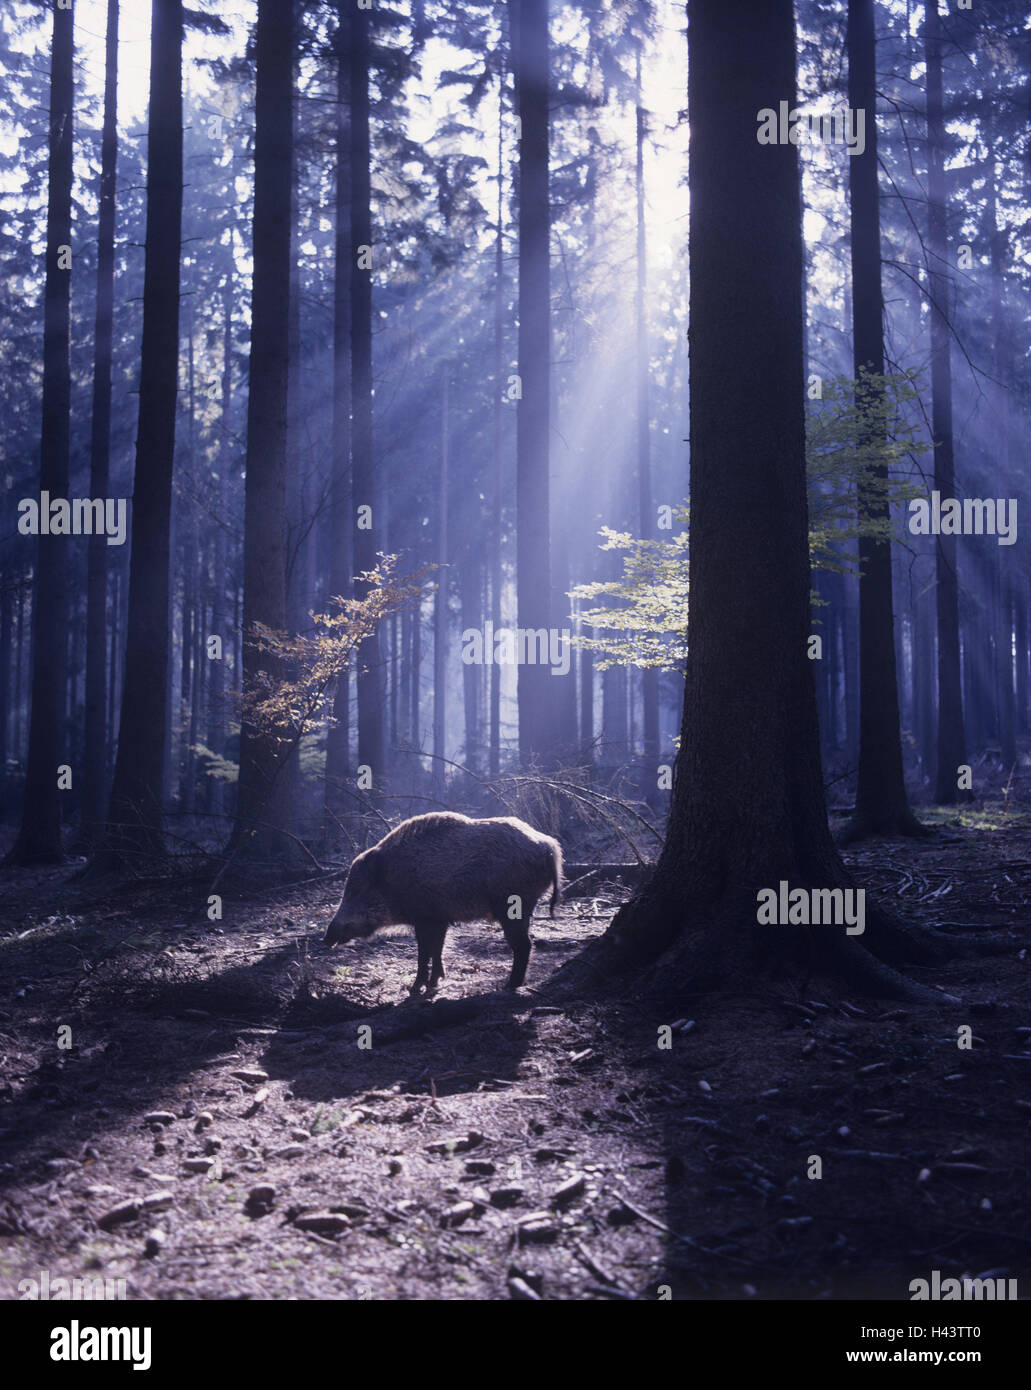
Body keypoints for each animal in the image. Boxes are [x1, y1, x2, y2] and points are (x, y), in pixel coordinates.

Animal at [324, 811, 563, 997]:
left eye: (356, 890)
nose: (326, 938)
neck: (391, 881)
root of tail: (550, 847)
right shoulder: (439, 919)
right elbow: (436, 949)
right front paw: (434, 983)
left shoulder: (424, 918)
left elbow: (424, 953)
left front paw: (414, 989)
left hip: (513, 906)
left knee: (524, 945)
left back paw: (509, 986)